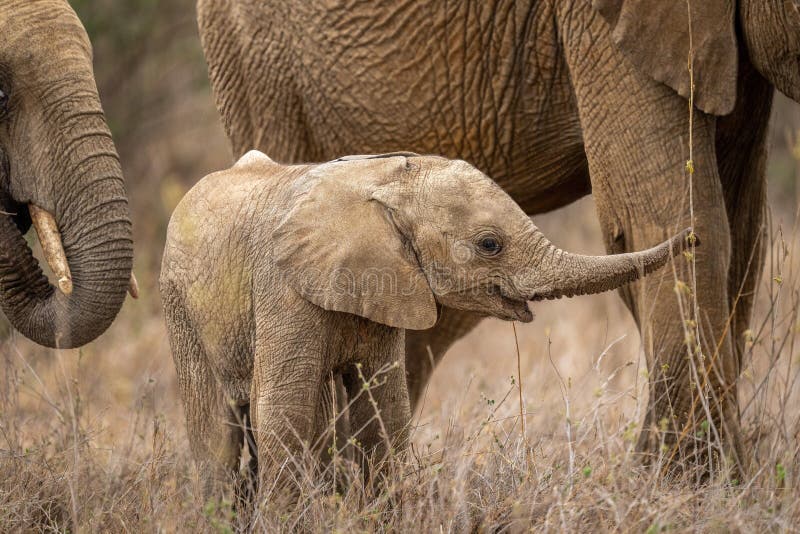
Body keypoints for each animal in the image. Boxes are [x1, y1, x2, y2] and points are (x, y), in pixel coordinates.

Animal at [160, 150, 692, 497]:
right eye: (489, 244)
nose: (693, 235)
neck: (383, 180)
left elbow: (384, 410)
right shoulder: (283, 289)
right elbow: (282, 411)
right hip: (177, 303)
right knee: (216, 435)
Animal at [196, 0, 800, 470]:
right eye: (490, 245)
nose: (685, 241)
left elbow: (743, 228)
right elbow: (665, 212)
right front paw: (688, 485)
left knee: (426, 322)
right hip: (260, 65)